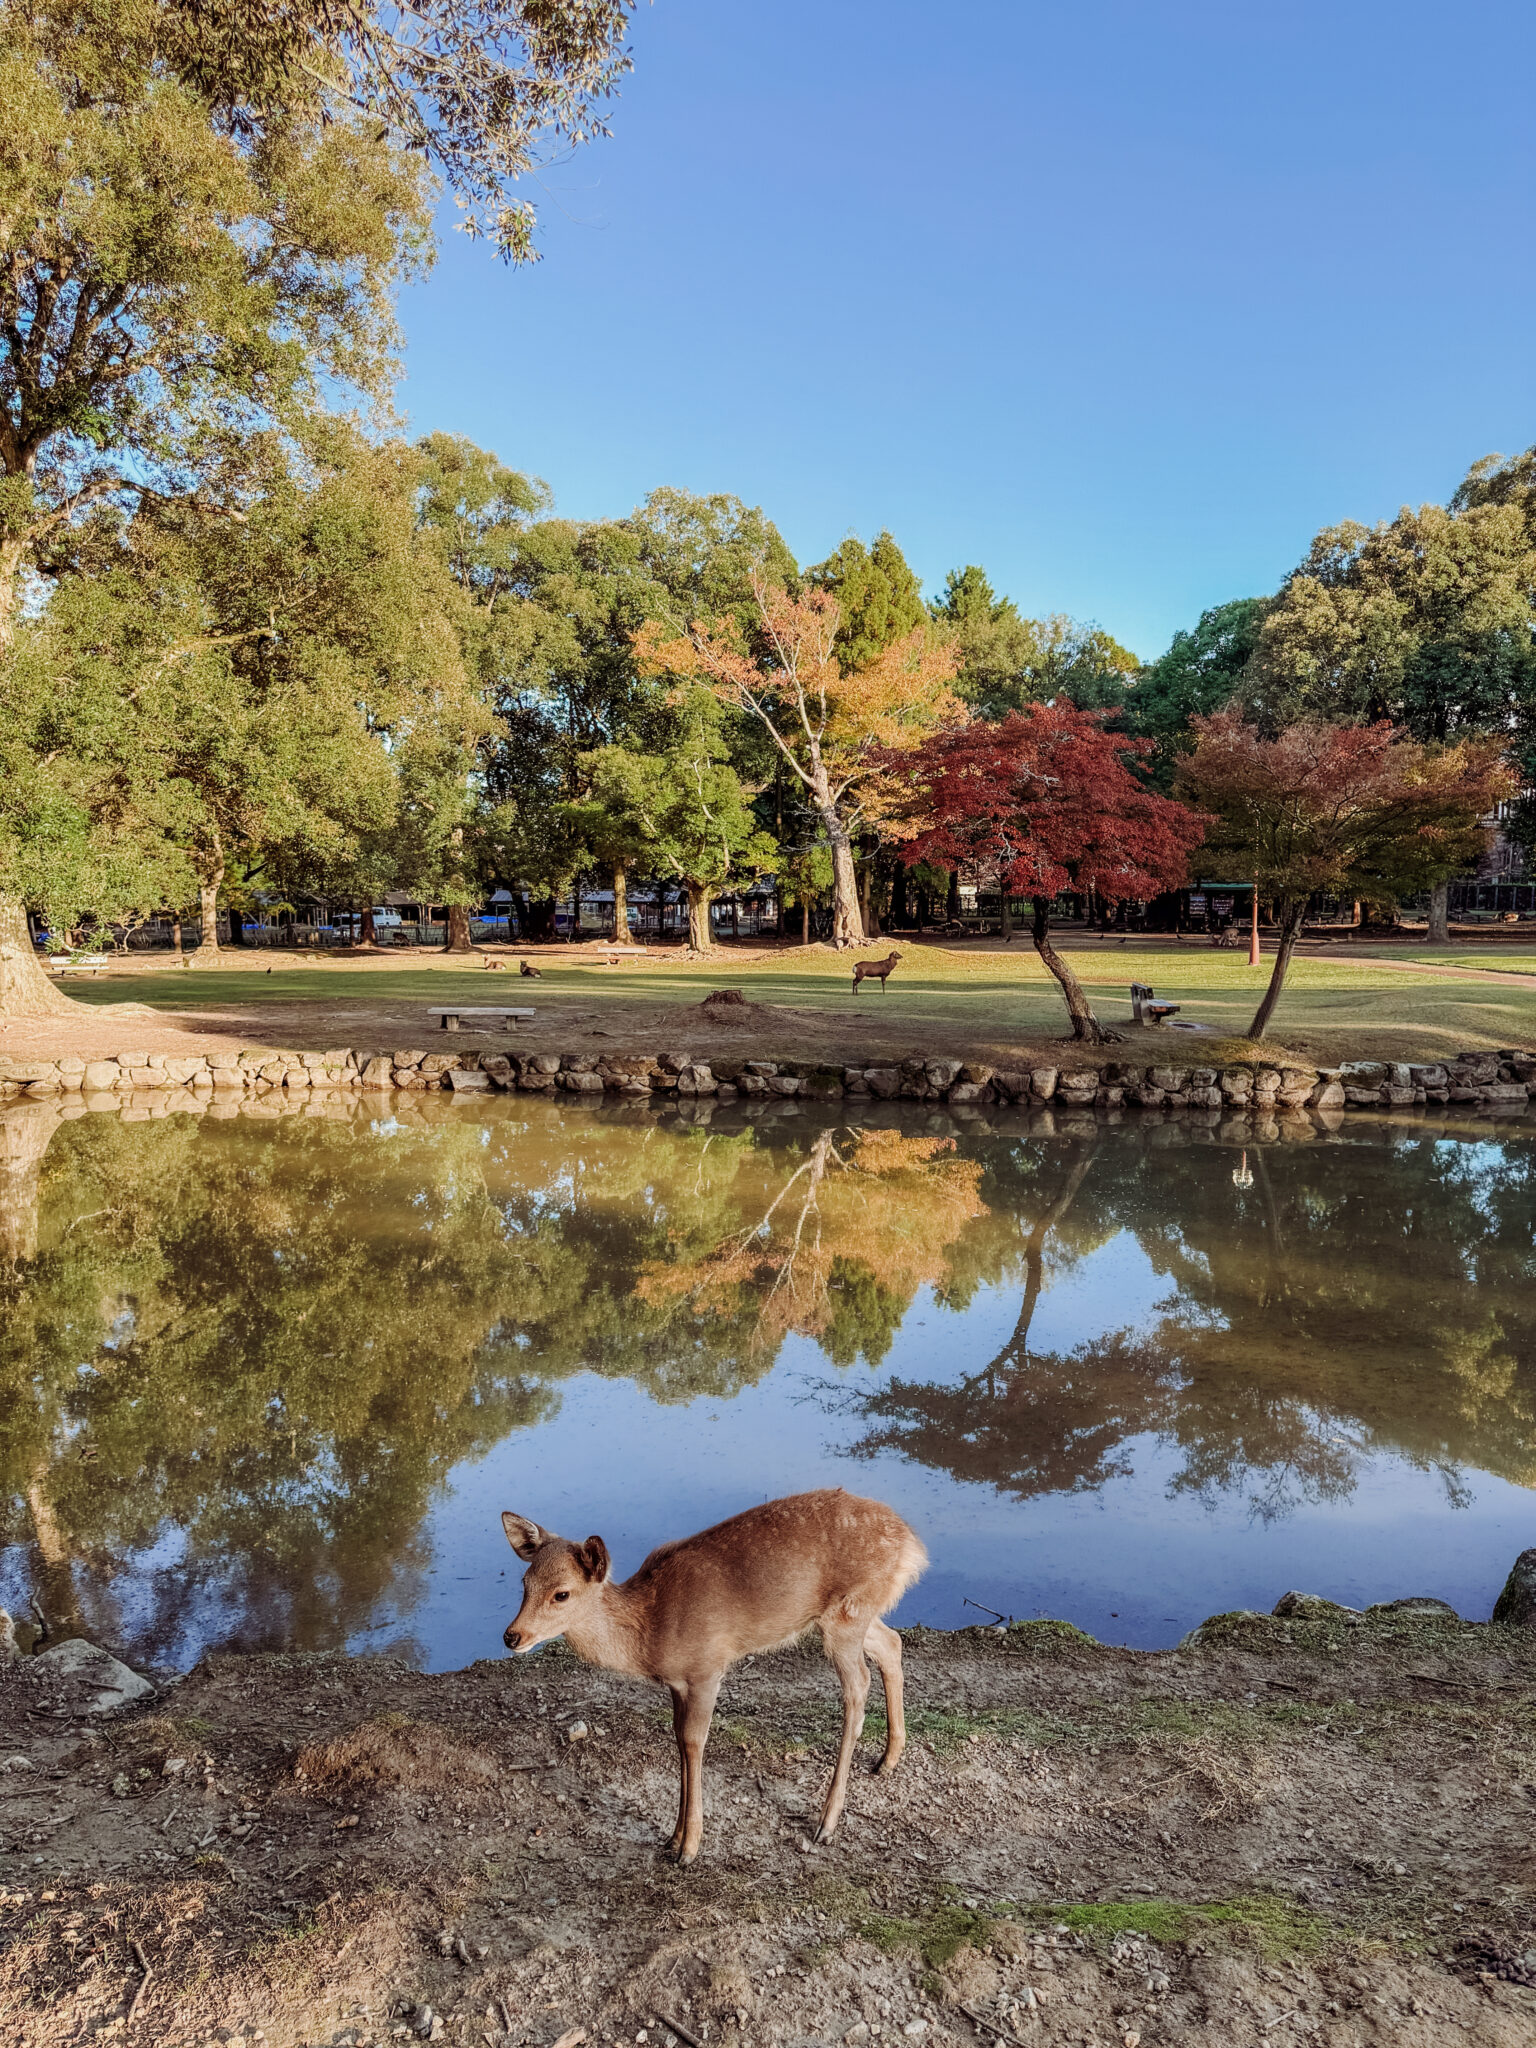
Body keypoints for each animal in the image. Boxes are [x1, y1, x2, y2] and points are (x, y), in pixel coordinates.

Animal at [500, 1489, 926, 1865]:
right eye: (524, 1583)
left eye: (562, 1593)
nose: (511, 1636)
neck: (650, 1634)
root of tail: (912, 1546)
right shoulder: (677, 1683)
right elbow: (678, 1739)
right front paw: (672, 1839)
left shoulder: (707, 1667)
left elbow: (694, 1742)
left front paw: (688, 1849)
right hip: (848, 1616)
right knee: (892, 1643)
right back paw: (887, 1760)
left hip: (847, 1614)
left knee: (858, 1686)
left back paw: (827, 1823)